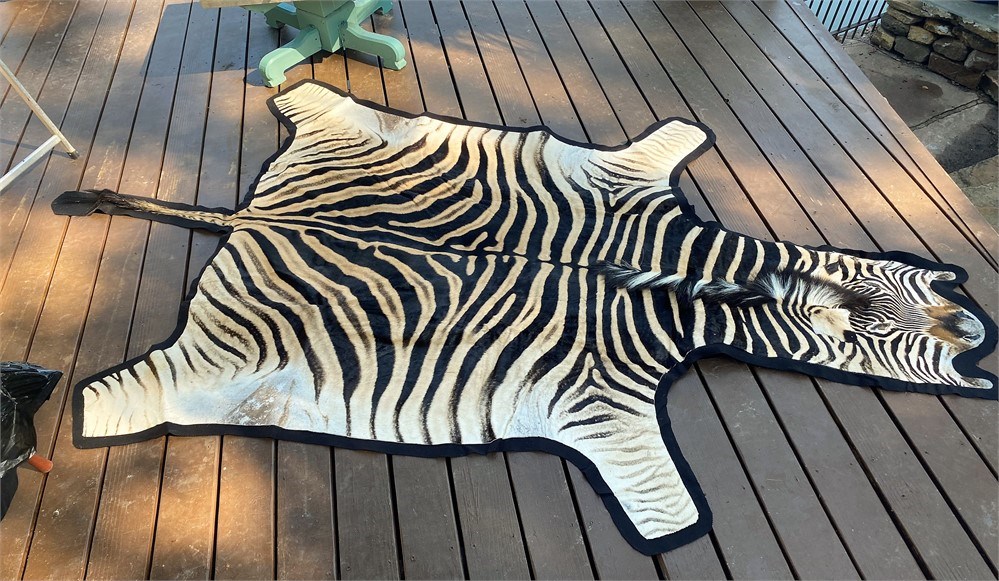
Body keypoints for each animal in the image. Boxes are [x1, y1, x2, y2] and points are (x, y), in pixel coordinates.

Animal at [53, 80, 997, 554]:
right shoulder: (606, 406)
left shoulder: (629, 182)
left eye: (917, 293)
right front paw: (674, 529)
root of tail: (259, 217)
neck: (682, 283)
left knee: (322, 106)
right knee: (128, 393)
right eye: (874, 333)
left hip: (348, 144)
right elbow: (661, 497)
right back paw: (94, 409)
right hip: (222, 371)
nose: (977, 330)